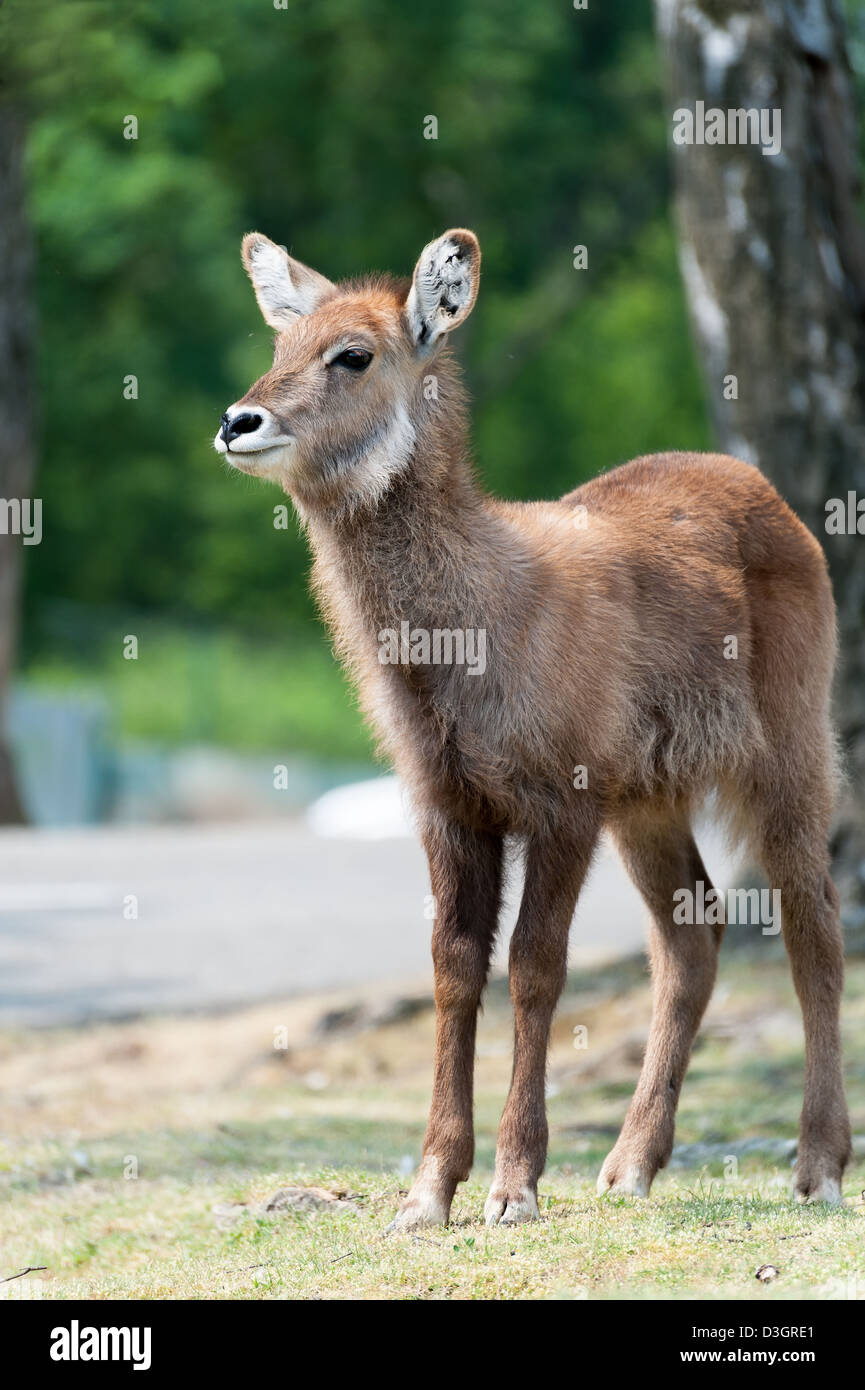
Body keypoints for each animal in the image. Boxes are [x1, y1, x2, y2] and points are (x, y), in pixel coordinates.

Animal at [214, 226, 851, 1229]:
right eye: (282, 343)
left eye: (352, 354)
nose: (239, 423)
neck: (472, 622)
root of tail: (765, 493)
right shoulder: (448, 806)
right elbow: (452, 966)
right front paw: (428, 1190)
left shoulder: (561, 804)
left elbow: (534, 966)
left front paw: (513, 1184)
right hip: (650, 802)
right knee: (692, 935)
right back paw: (629, 1164)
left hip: (784, 755)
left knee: (812, 922)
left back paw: (818, 1167)